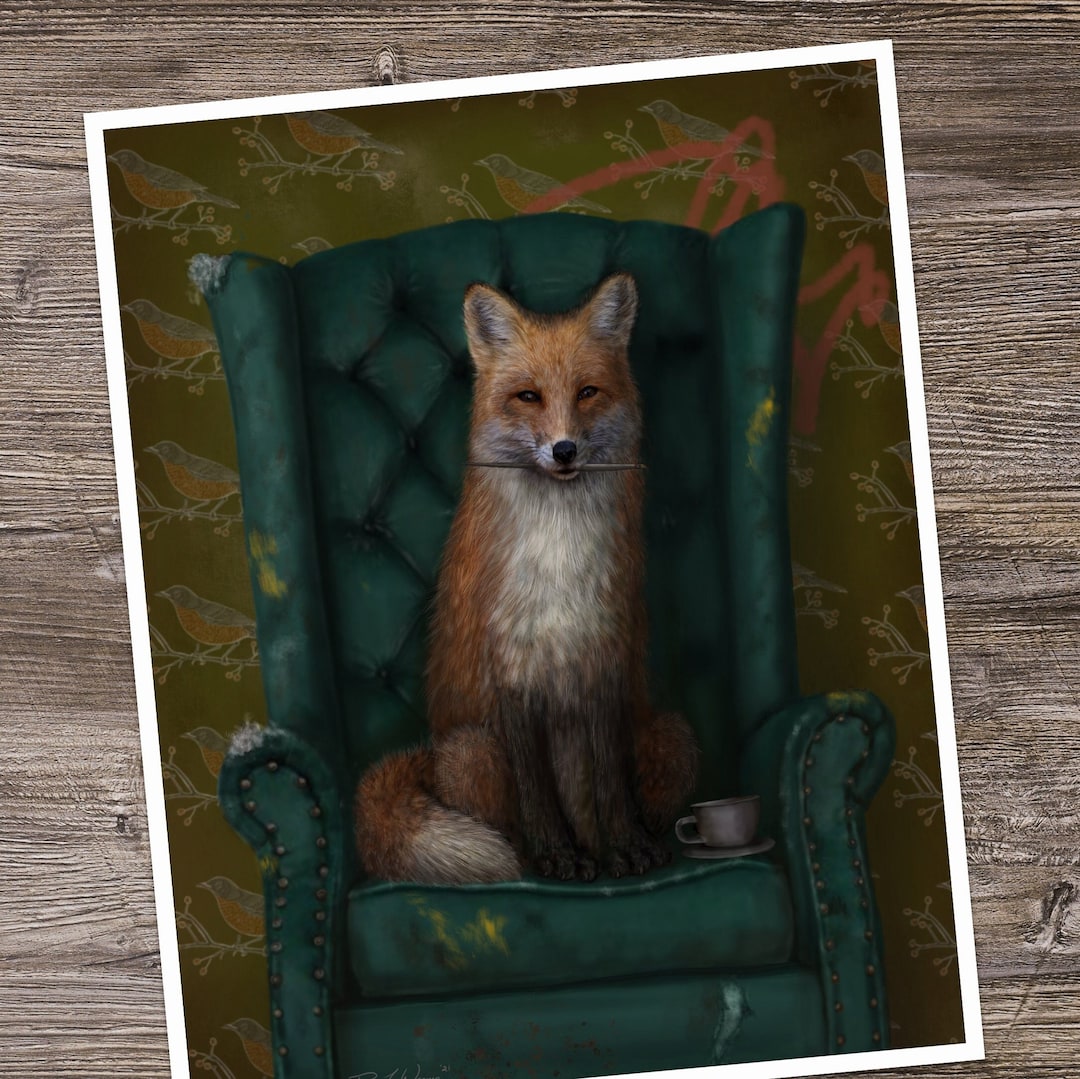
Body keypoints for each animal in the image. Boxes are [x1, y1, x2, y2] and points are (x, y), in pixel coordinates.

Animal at [355, 272, 699, 884]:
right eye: (529, 397)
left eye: (587, 392)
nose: (564, 449)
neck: (557, 560)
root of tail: (428, 756)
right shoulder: (514, 679)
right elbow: (536, 792)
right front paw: (556, 854)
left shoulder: (603, 667)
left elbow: (611, 784)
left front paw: (627, 847)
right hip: (472, 751)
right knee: (506, 825)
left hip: (673, 738)